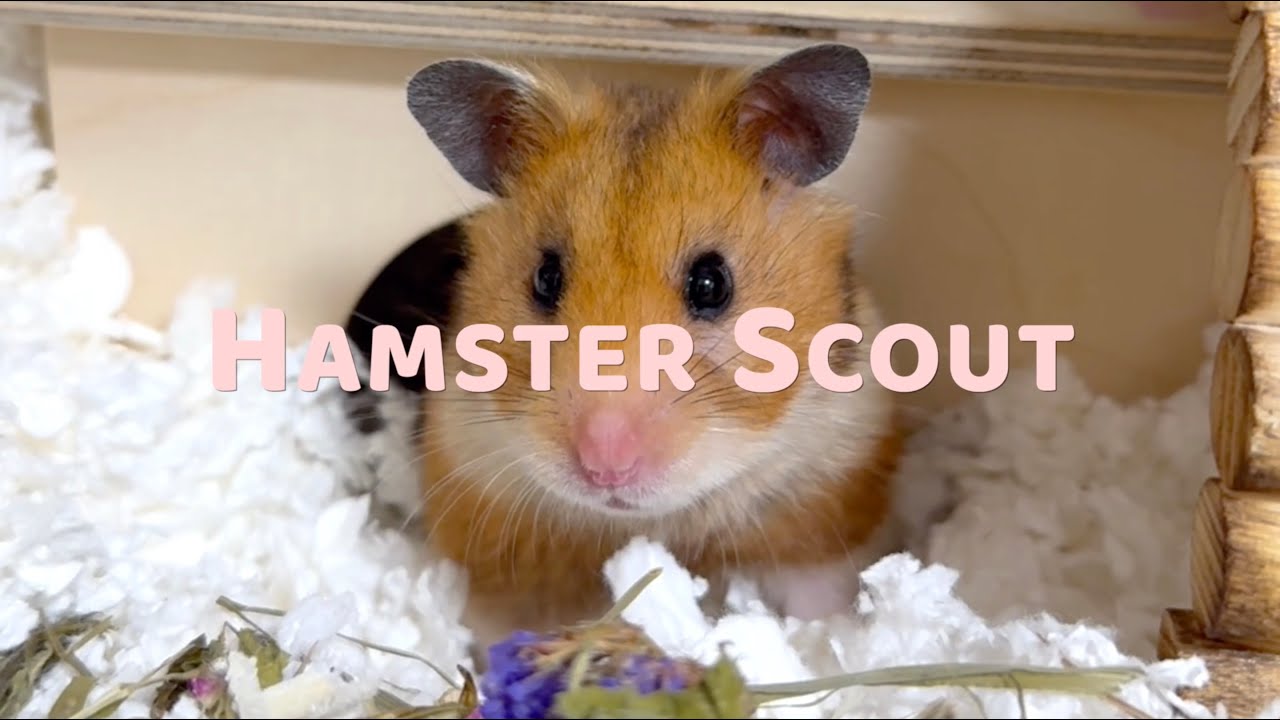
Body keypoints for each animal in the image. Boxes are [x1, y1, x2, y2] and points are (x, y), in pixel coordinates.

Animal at [345, 43, 906, 654]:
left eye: (712, 283)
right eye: (545, 278)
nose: (605, 467)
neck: (653, 520)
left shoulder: (826, 499)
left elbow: (817, 597)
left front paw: (828, 639)